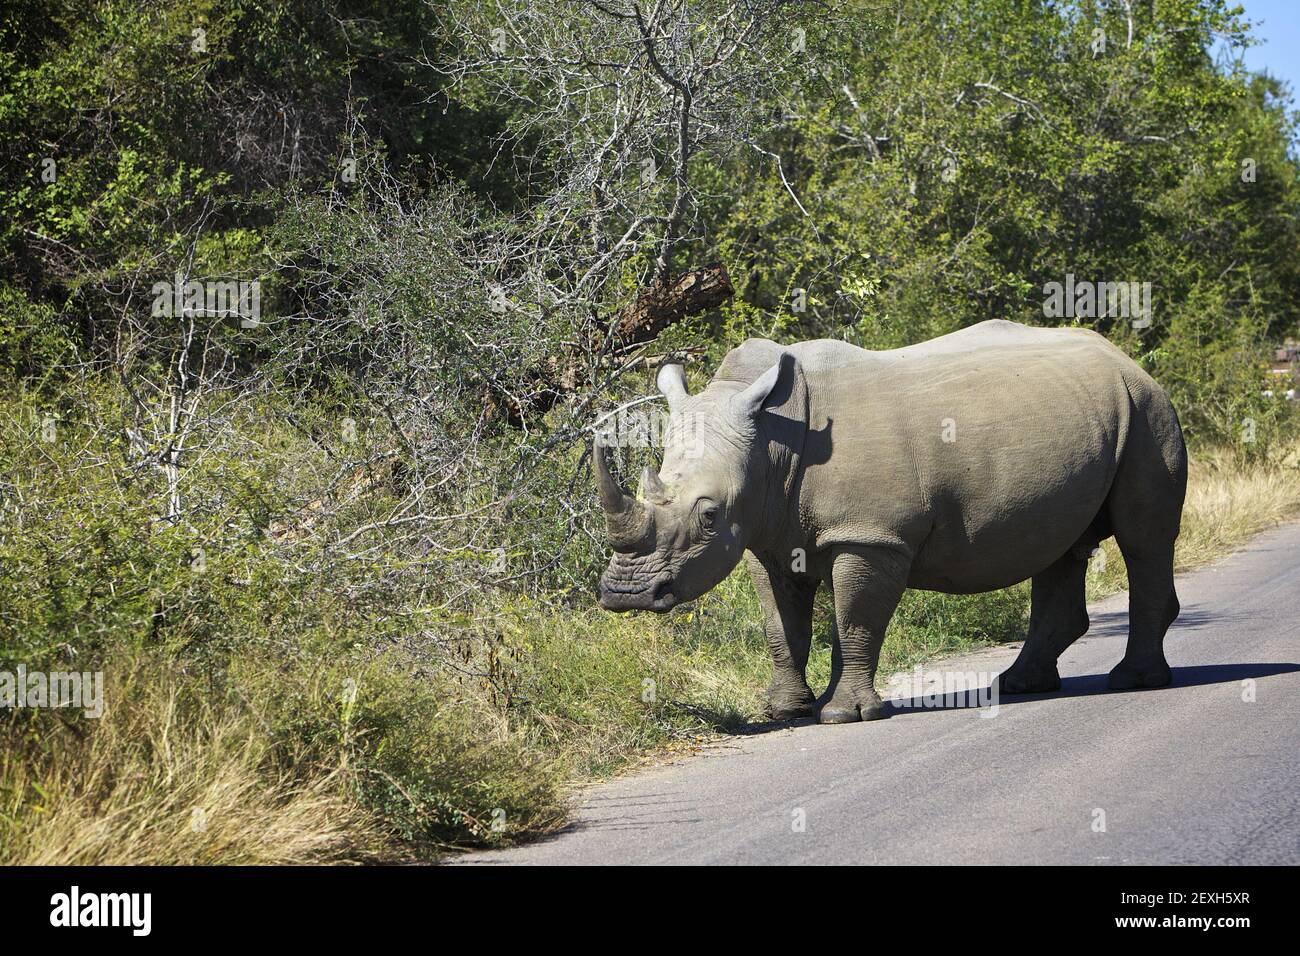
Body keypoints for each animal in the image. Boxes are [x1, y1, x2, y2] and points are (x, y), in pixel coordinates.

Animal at [595, 319, 1187, 723]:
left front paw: (843, 715)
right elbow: (781, 625)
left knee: (1143, 540)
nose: (626, 594)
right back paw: (1020, 686)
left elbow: (855, 619)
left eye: (710, 516)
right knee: (1060, 546)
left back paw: (1133, 682)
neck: (770, 442)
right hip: (1094, 414)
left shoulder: (871, 535)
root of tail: (1128, 360)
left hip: (1147, 410)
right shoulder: (768, 535)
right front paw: (783, 711)